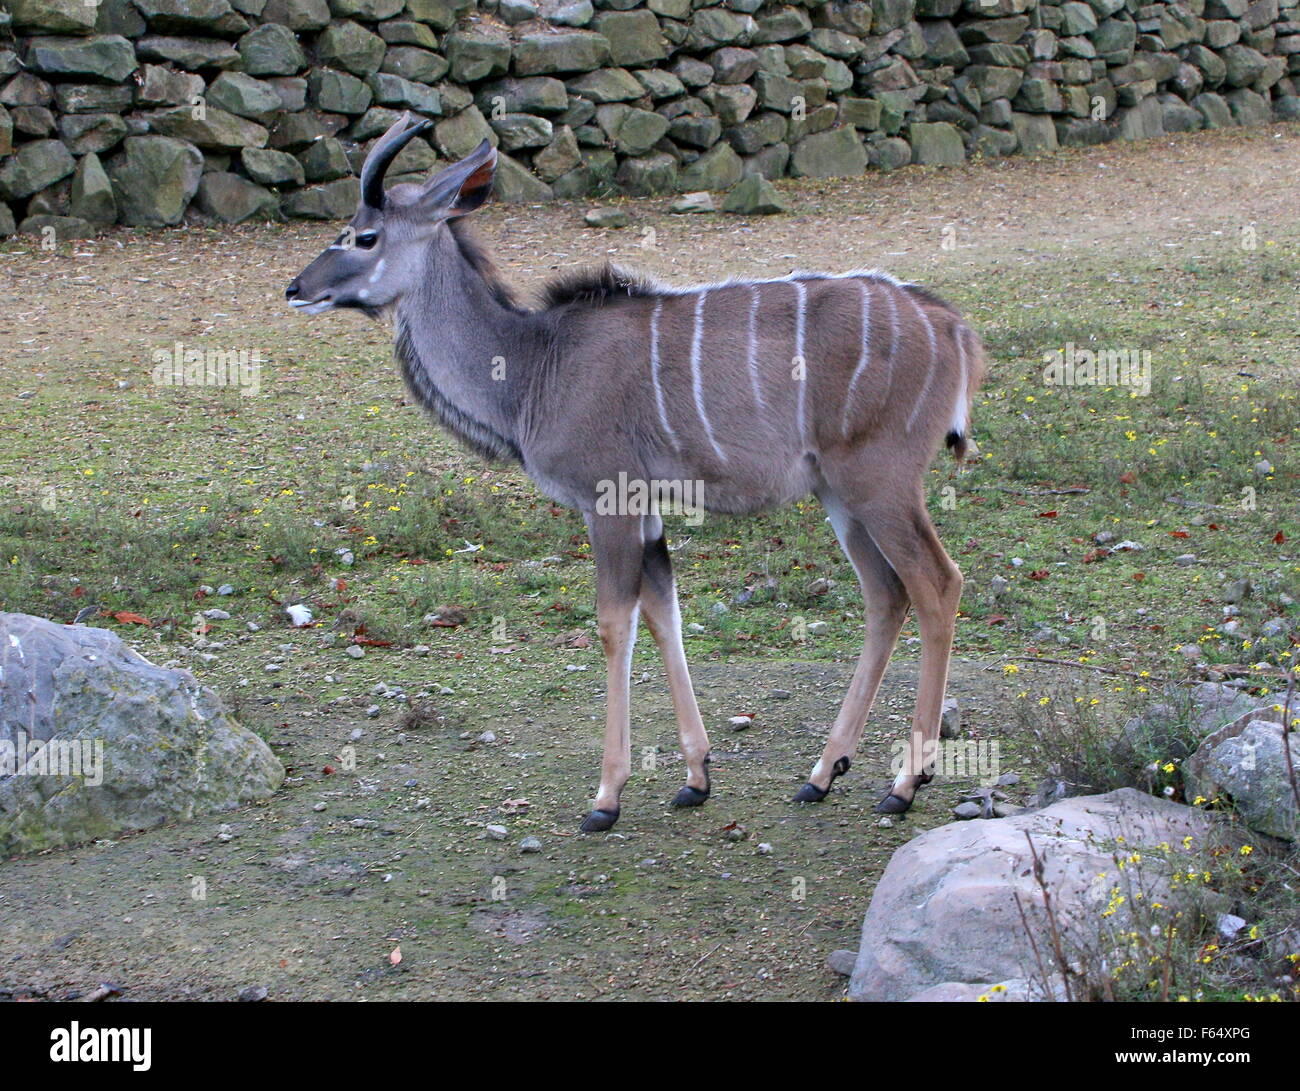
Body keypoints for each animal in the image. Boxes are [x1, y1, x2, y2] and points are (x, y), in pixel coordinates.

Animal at [287, 114, 986, 833]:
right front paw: (695, 777)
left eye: (364, 235)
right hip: (839, 493)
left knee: (937, 583)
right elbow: (663, 611)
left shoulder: (608, 500)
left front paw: (607, 795)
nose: (297, 289)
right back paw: (822, 773)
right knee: (885, 594)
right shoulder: (647, 507)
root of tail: (953, 328)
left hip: (880, 481)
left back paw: (905, 782)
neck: (533, 366)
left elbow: (612, 623)